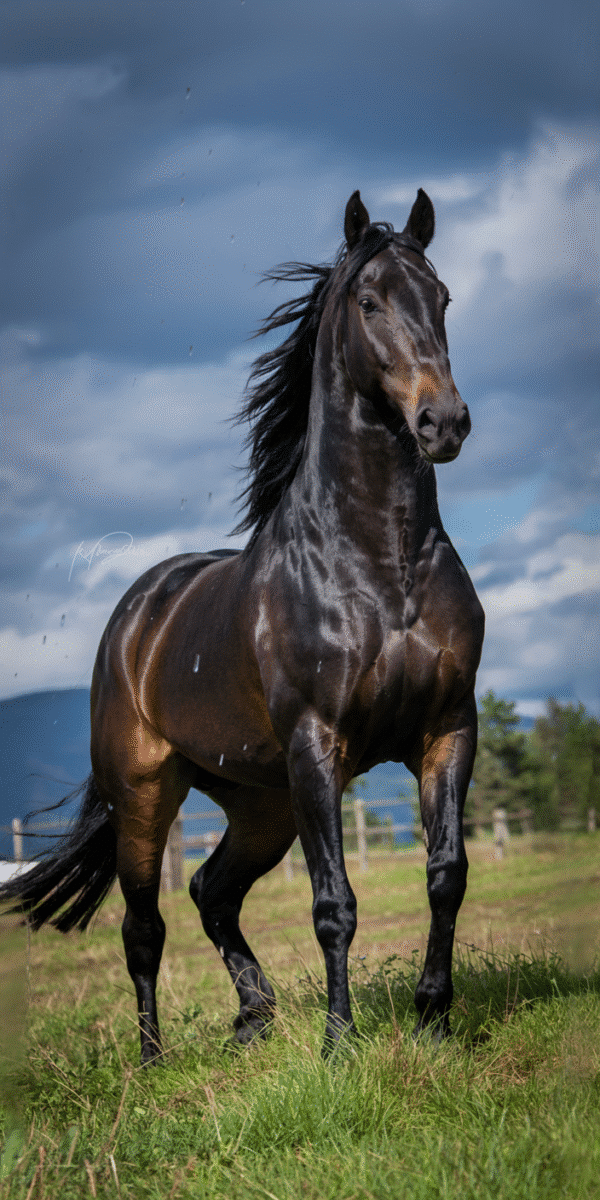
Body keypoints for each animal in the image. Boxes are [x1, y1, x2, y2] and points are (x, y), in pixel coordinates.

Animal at [1, 188, 484, 1065]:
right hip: (148, 794)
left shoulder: (446, 730)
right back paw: (153, 1063)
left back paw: (254, 1017)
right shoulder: (317, 746)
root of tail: (135, 617)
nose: (445, 424)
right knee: (145, 926)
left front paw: (434, 1023)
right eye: (368, 302)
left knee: (210, 891)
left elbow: (446, 874)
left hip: (263, 805)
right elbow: (334, 904)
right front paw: (339, 1046)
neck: (382, 565)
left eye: (443, 298)